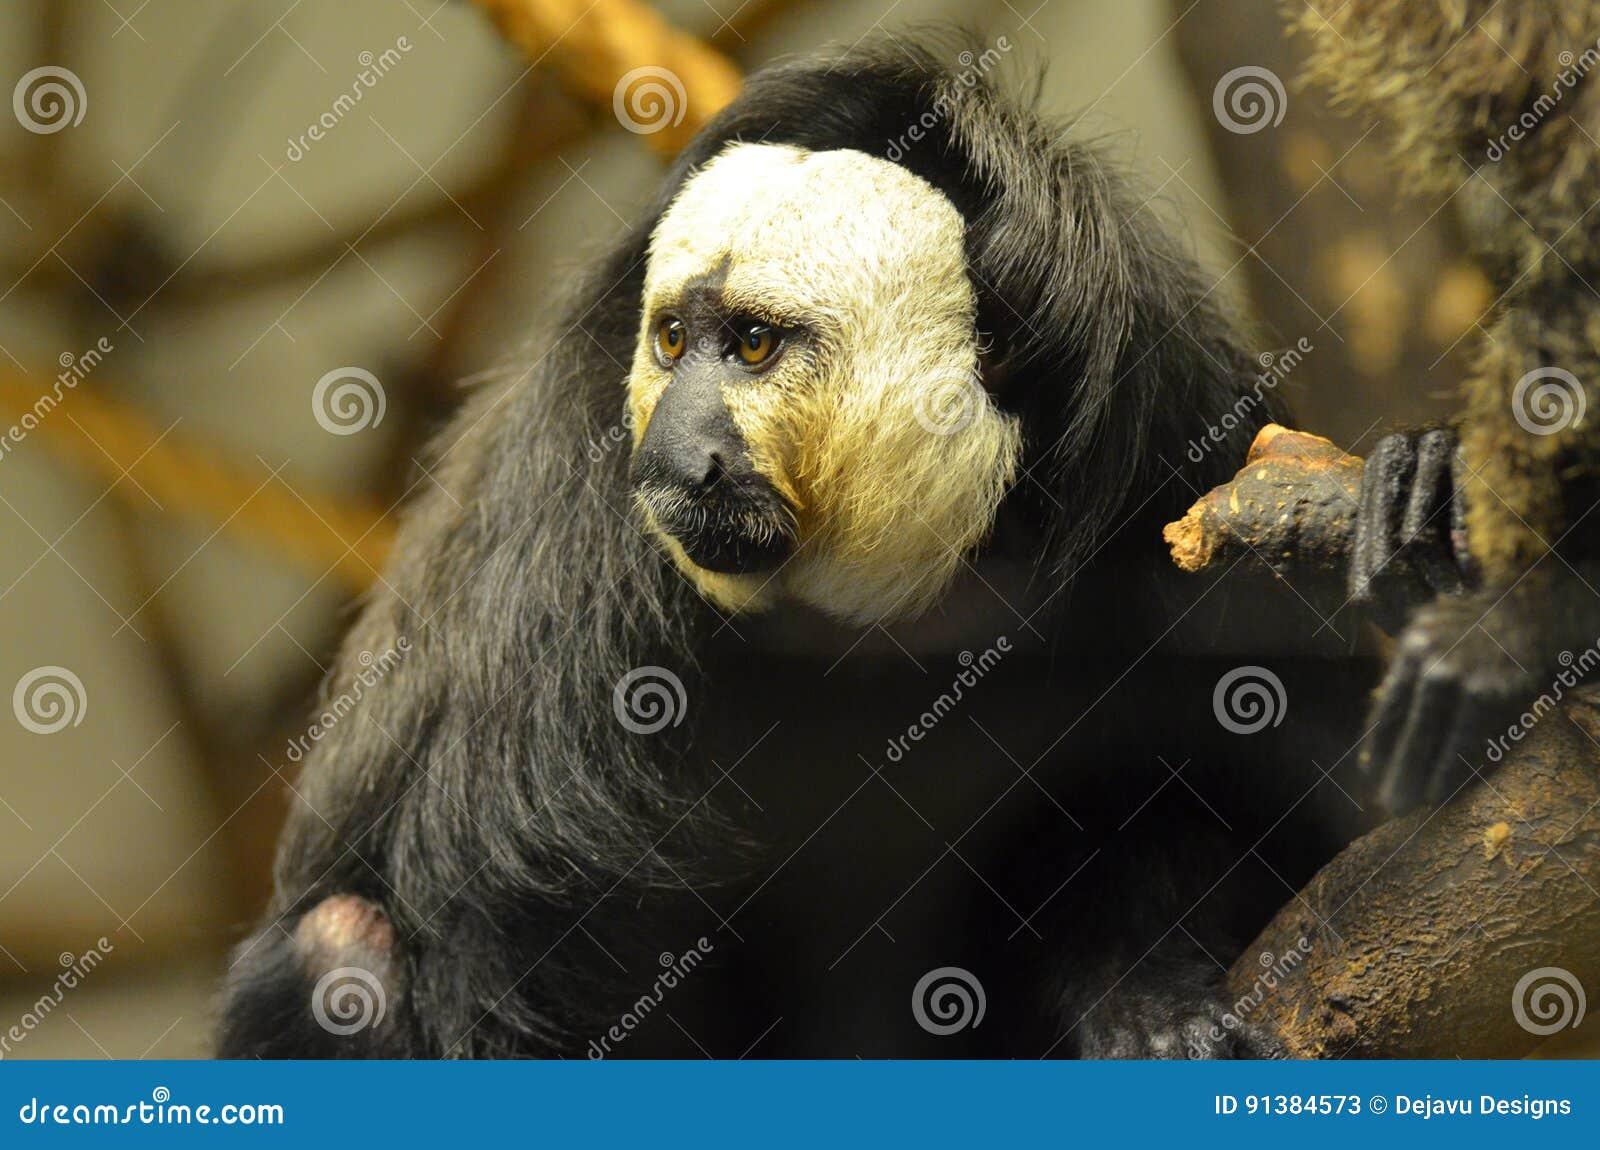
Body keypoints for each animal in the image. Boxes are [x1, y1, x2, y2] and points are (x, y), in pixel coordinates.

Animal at [218, 33, 1462, 1059]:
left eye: (753, 344)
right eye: (671, 339)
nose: (670, 442)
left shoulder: (1172, 447)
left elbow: (1284, 804)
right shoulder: (574, 534)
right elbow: (504, 946)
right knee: (345, 949)